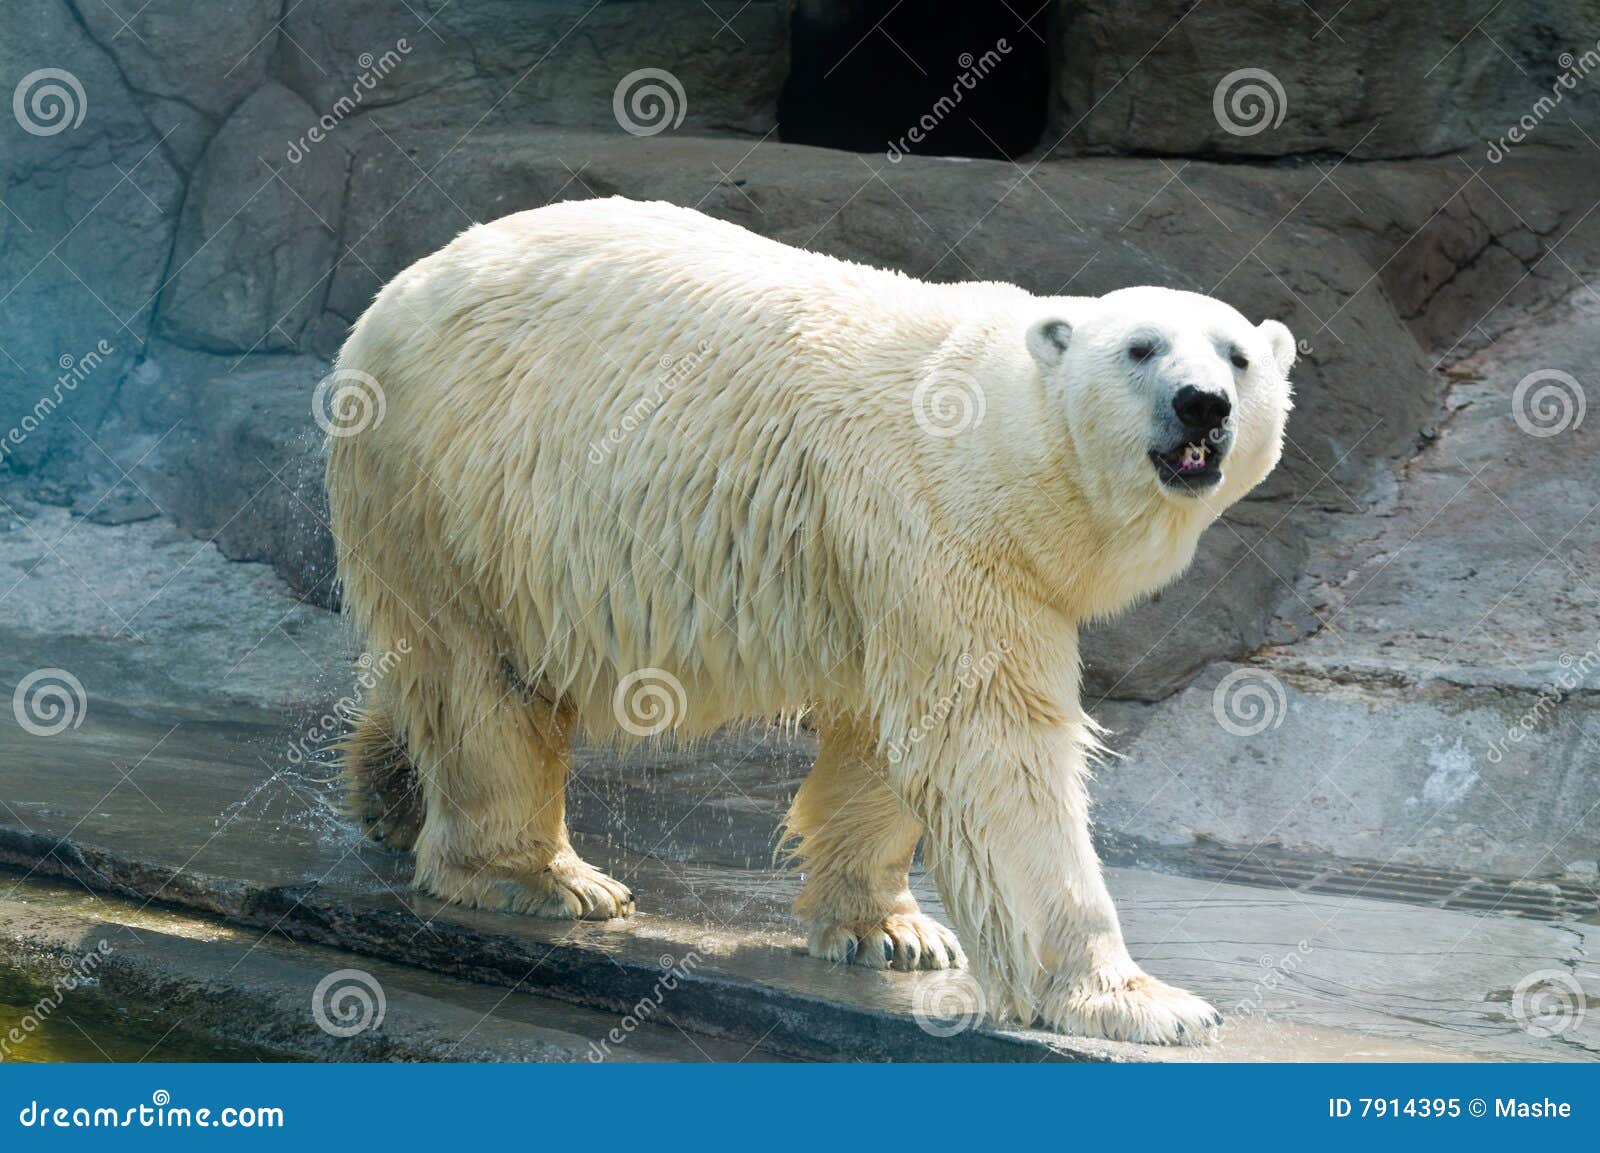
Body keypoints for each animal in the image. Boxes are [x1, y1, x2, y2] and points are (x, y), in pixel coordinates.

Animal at [324, 196, 1296, 1045]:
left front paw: (894, 933)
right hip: (457, 477)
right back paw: (542, 875)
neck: (993, 440)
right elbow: (992, 740)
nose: (1203, 402)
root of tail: (397, 291)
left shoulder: (888, 559)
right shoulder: (939, 527)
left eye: (1240, 357)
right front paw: (1144, 1002)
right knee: (484, 677)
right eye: (1140, 347)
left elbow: (886, 732)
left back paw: (390, 795)